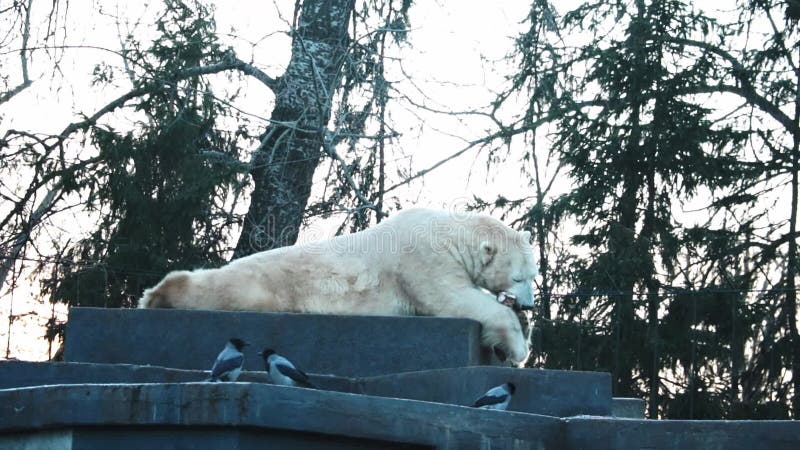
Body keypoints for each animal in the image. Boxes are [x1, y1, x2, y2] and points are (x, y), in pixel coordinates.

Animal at [139, 208, 537, 364]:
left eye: (534, 276)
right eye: (519, 277)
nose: (530, 305)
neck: (449, 233)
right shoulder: (421, 259)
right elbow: (453, 299)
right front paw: (518, 349)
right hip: (265, 285)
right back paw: (159, 294)